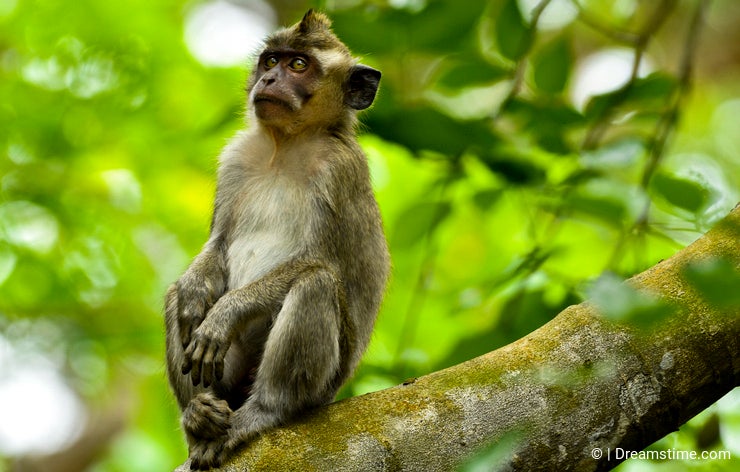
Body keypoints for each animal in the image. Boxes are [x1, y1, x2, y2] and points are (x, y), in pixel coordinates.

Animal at [165, 9, 390, 470]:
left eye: (298, 65)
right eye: (270, 61)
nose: (268, 80)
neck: (284, 146)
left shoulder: (339, 171)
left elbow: (317, 261)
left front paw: (225, 312)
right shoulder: (234, 158)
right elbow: (217, 246)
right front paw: (196, 290)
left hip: (323, 385)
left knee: (315, 284)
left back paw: (266, 410)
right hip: (228, 374)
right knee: (176, 301)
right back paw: (198, 416)